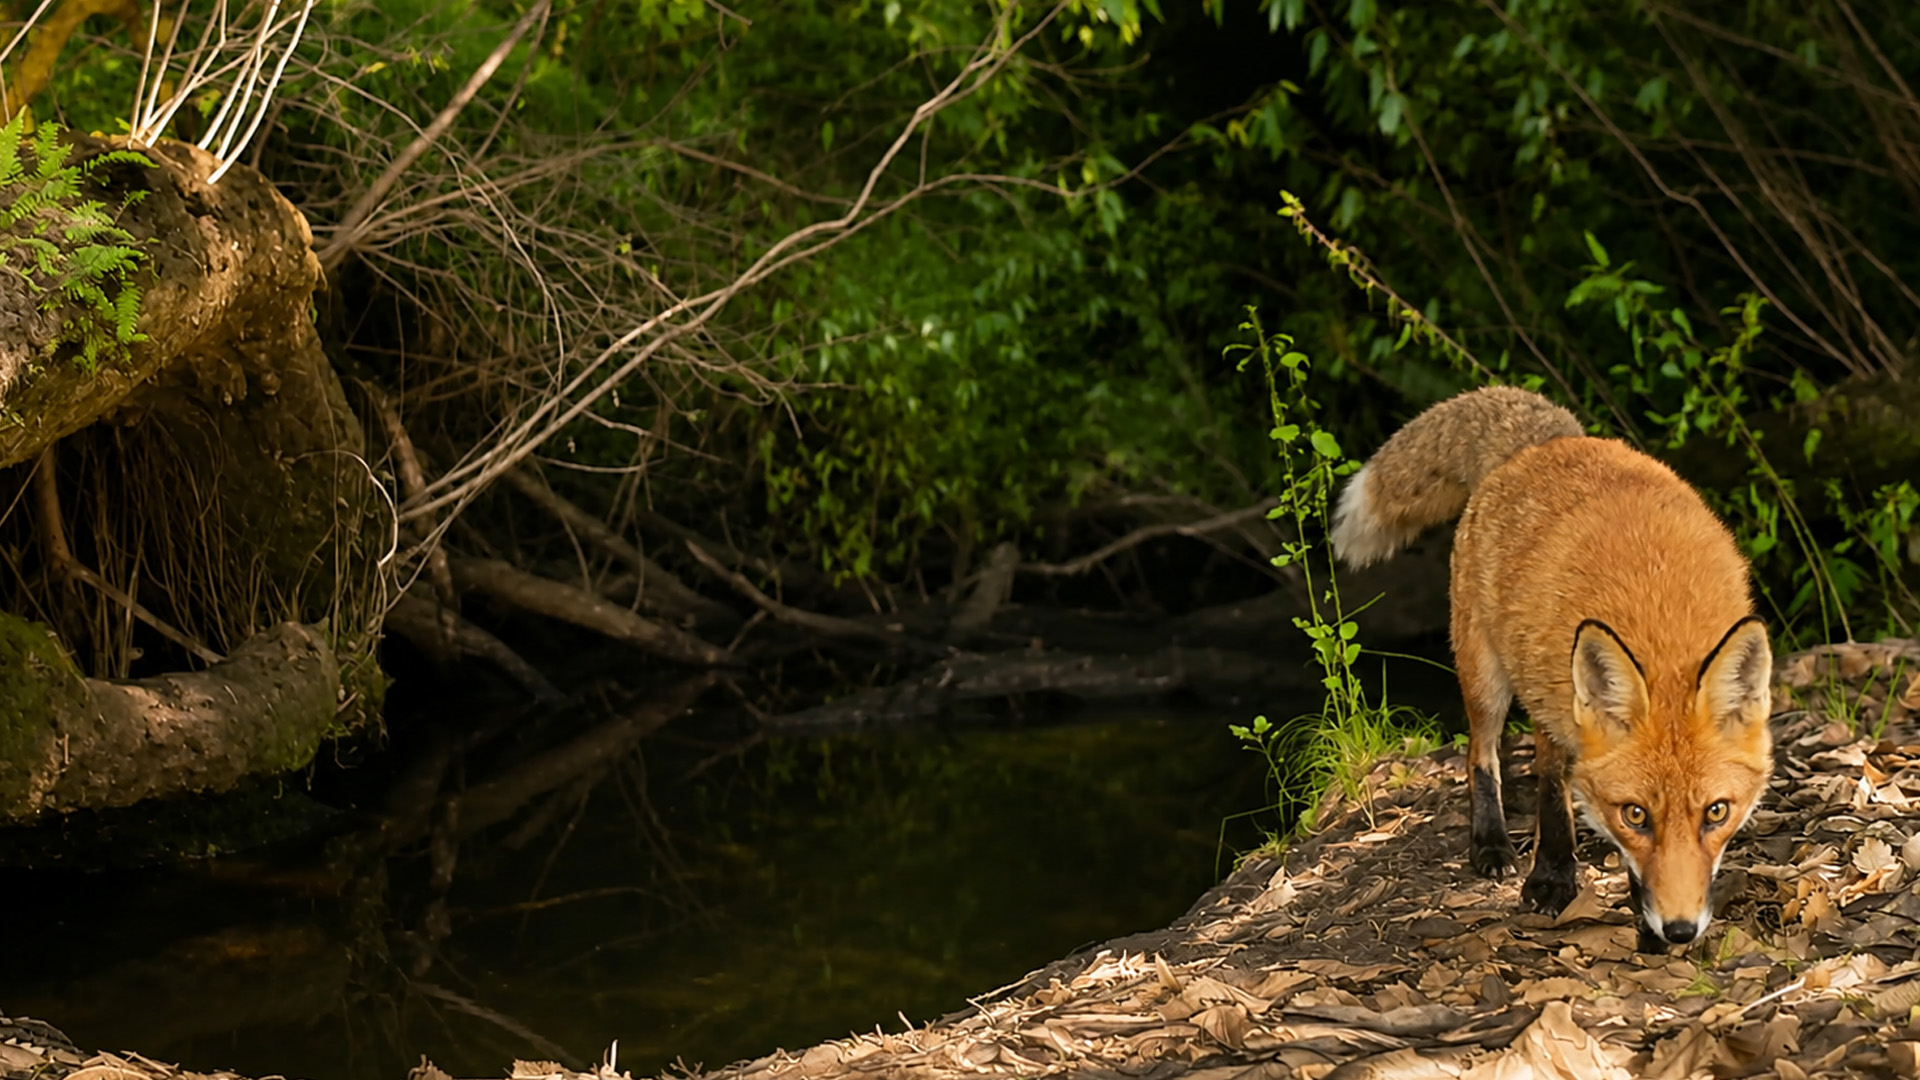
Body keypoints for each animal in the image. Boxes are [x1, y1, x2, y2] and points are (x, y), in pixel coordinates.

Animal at [1331, 386, 1773, 952]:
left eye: (1717, 811)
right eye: (1636, 814)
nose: (1679, 931)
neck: (1660, 624)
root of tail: (1549, 441)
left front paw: (1640, 915)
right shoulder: (1552, 705)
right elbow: (1551, 796)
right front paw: (1552, 879)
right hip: (1487, 677)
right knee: (1482, 755)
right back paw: (1492, 843)